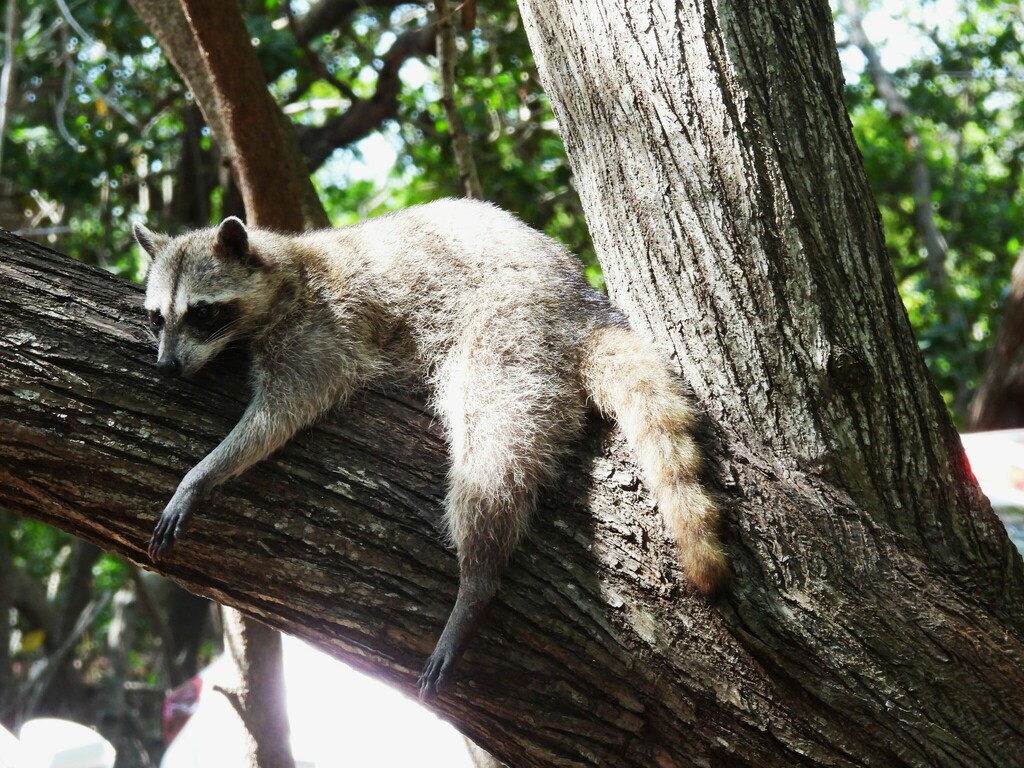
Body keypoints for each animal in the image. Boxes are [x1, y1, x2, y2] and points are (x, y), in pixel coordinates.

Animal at [133, 198, 728, 699]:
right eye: (157, 317)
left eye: (203, 312)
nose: (165, 367)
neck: (285, 266)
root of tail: (581, 306)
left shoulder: (320, 331)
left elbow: (282, 412)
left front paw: (203, 472)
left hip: (511, 331)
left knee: (490, 457)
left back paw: (475, 583)